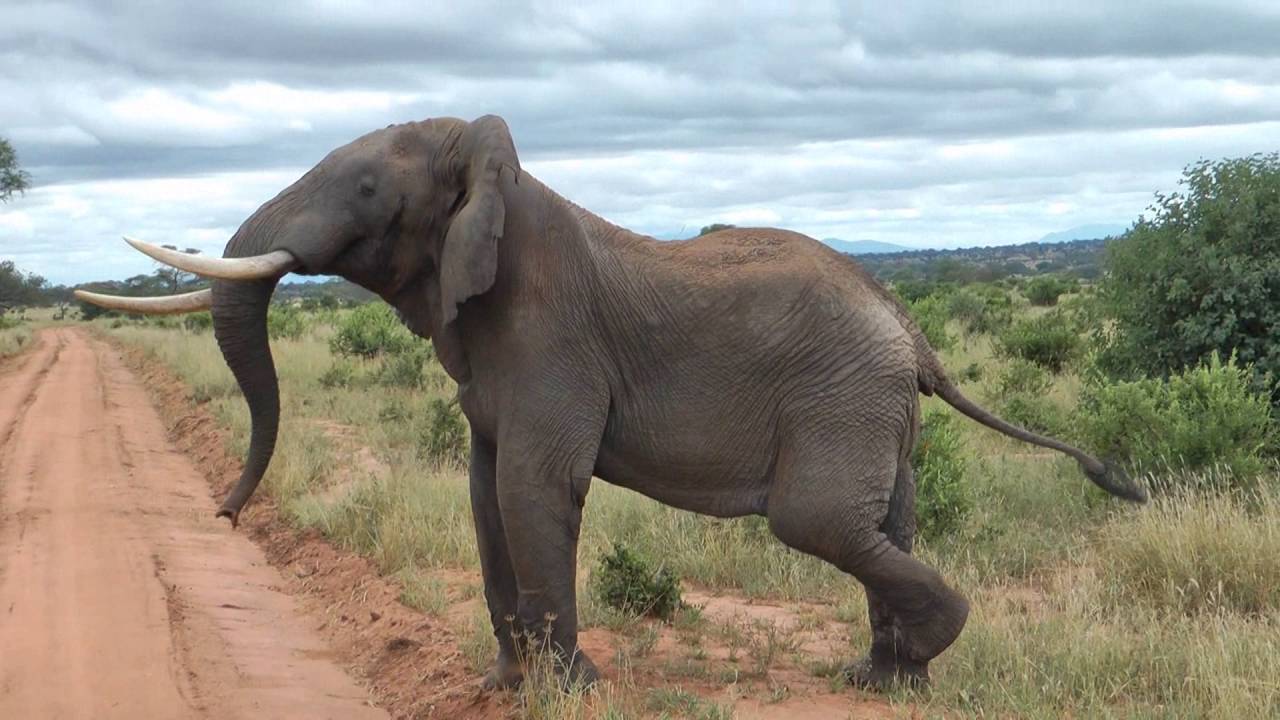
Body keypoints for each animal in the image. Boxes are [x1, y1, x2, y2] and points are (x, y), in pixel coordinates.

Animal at [78, 114, 1147, 691]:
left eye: (372, 187)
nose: (222, 513)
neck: (496, 178)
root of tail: (910, 326)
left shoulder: (550, 337)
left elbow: (535, 489)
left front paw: (571, 690)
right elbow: (486, 493)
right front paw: (504, 686)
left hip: (842, 398)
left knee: (815, 522)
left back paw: (928, 645)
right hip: (878, 410)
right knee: (887, 520)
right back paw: (885, 684)